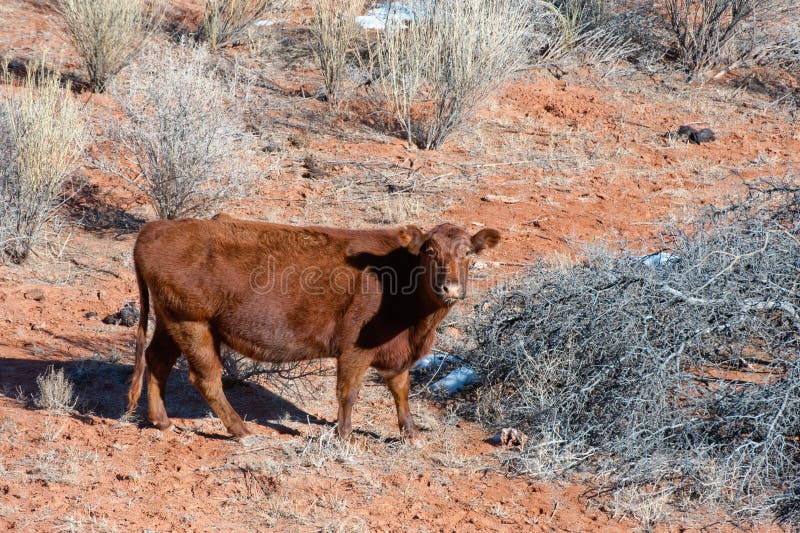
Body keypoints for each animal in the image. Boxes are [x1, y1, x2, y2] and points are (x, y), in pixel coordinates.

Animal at [126, 217, 500, 440]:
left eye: (469, 253)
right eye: (429, 250)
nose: (450, 287)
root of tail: (155, 228)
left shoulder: (396, 353)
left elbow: (401, 390)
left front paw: (411, 434)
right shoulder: (355, 349)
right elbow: (349, 393)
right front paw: (344, 435)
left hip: (171, 321)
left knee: (157, 361)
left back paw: (161, 420)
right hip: (193, 324)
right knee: (205, 378)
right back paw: (242, 430)